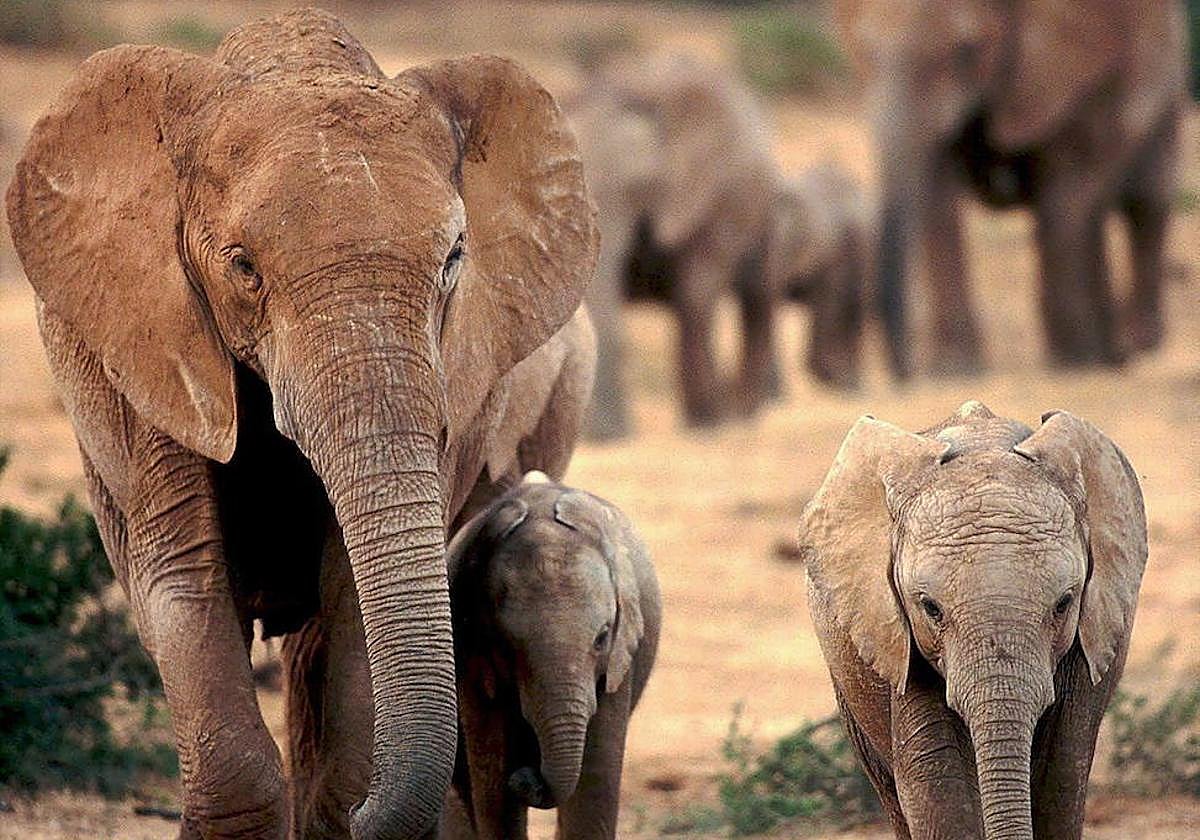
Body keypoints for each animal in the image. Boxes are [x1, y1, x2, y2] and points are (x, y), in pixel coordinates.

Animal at [5, 8, 598, 839]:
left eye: (454, 258)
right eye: (243, 267)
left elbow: (350, 594)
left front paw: (349, 803)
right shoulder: (144, 347)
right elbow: (186, 575)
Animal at [438, 471, 661, 839]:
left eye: (602, 638)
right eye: (506, 645)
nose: (526, 777)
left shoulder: (618, 663)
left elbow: (596, 776)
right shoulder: (472, 657)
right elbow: (493, 782)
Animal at [567, 54, 864, 440]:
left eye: (641, 188)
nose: (605, 437)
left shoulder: (711, 199)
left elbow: (696, 295)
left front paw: (707, 425)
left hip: (765, 213)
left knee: (755, 298)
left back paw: (740, 415)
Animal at [799, 401, 1148, 840]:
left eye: (1064, 604)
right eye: (930, 608)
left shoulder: (1089, 640)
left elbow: (1061, 774)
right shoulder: (898, 639)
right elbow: (938, 781)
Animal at [837, 0, 1189, 377]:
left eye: (967, 51)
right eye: (866, 53)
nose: (907, 375)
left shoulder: (1070, 78)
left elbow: (1063, 198)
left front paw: (1072, 364)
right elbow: (937, 196)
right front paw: (953, 370)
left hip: (1167, 89)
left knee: (1145, 203)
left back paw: (1132, 344)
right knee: (1099, 216)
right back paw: (1111, 356)